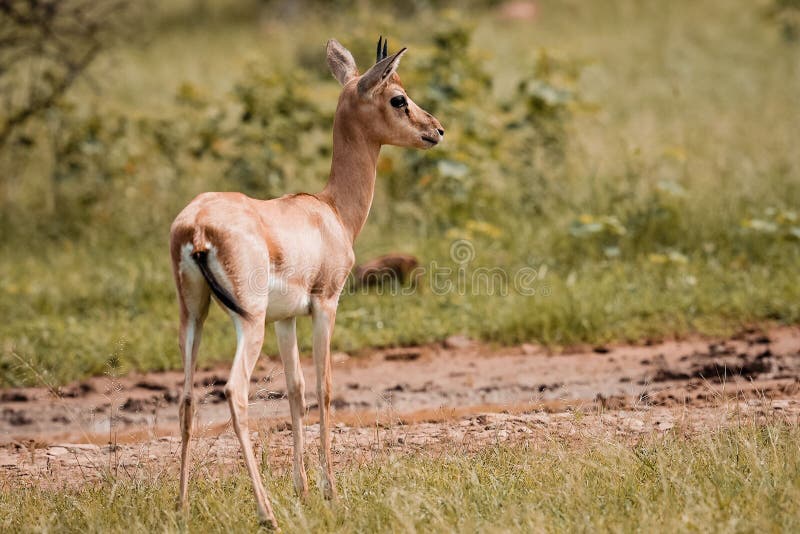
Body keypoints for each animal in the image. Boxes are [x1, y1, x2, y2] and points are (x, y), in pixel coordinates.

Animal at [169, 37, 444, 528]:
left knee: (186, 400)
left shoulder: (285, 319)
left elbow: (295, 391)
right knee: (235, 392)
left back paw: (182, 508)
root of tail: (197, 226)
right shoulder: (325, 305)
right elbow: (325, 387)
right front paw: (330, 490)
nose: (436, 130)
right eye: (398, 98)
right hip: (248, 321)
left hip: (194, 316)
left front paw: (303, 489)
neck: (330, 210)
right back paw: (266, 514)